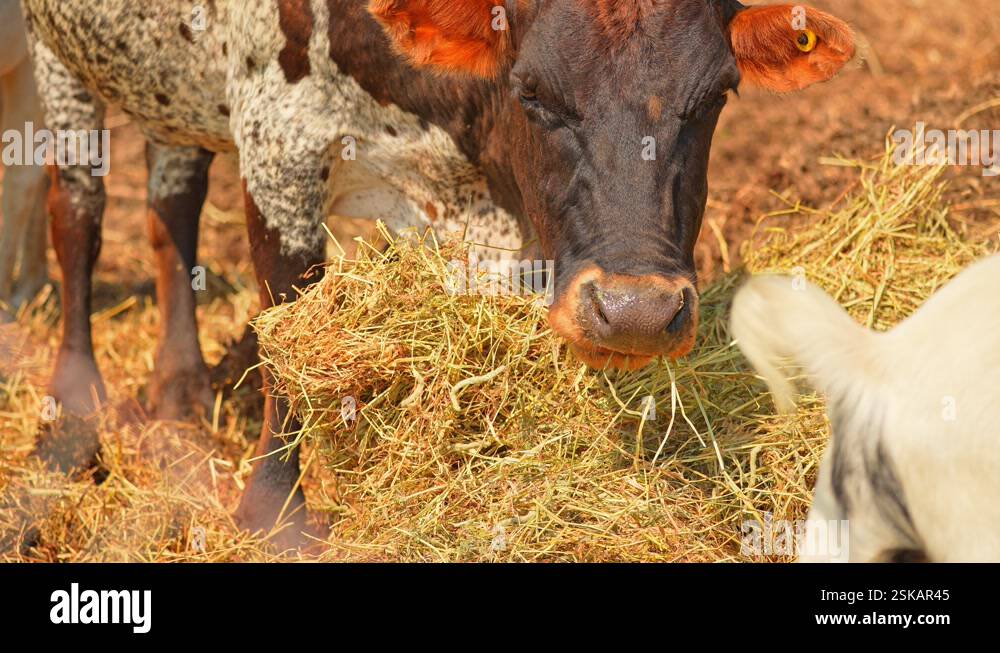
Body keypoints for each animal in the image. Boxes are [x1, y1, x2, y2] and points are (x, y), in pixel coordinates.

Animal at [19, 0, 855, 548]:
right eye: (532, 91)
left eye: (716, 95)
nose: (639, 311)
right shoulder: (277, 140)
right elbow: (285, 323)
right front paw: (272, 512)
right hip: (58, 54)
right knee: (79, 213)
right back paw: (73, 410)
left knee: (172, 201)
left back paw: (181, 387)